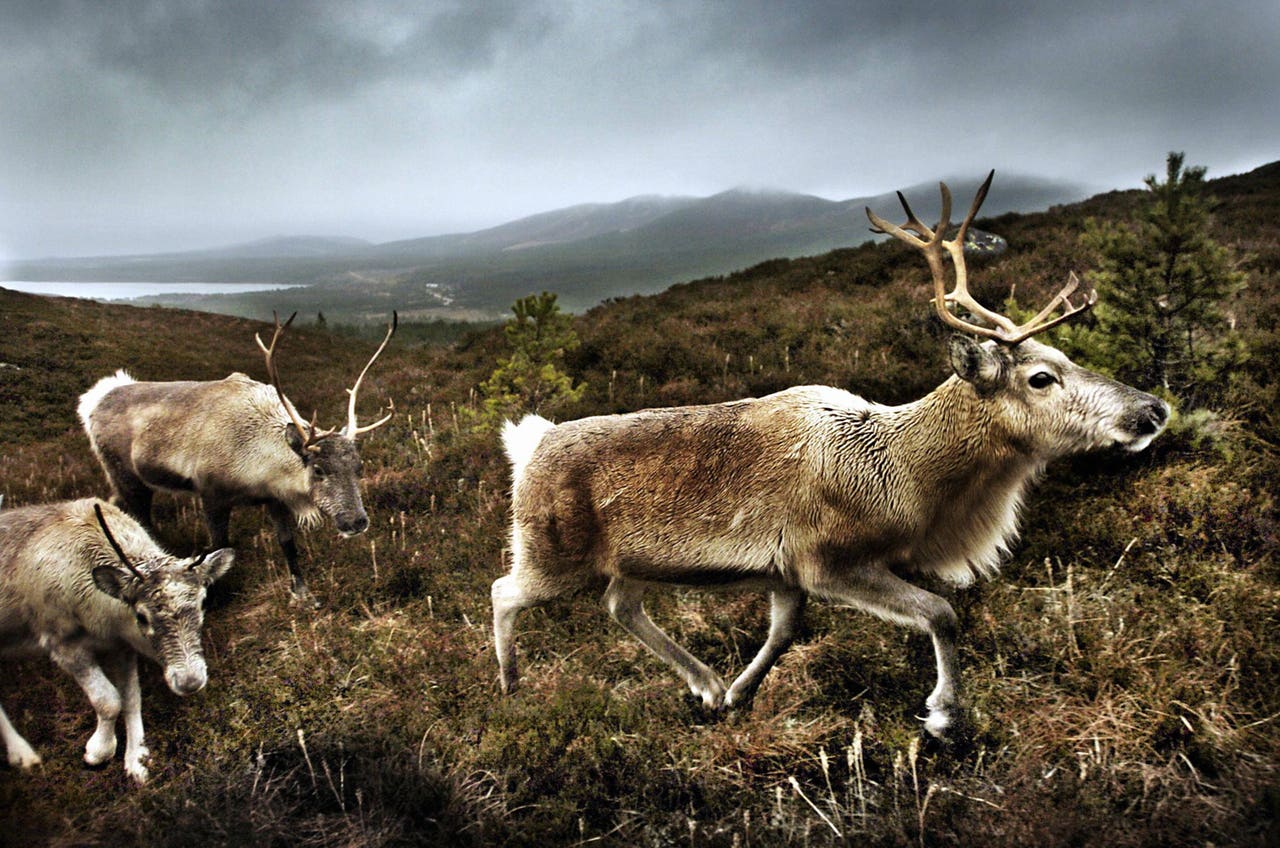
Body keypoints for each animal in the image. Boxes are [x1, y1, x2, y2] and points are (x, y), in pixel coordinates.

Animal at [0, 498, 233, 782]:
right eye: (141, 616)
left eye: (202, 601)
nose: (190, 682)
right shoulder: (61, 643)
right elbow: (109, 700)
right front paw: (98, 751)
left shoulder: (121, 646)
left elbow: (132, 698)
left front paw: (137, 762)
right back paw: (23, 755)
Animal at [78, 313, 396, 606]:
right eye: (318, 469)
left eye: (359, 467)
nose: (356, 521)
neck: (257, 464)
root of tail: (94, 399)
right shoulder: (211, 494)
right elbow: (219, 546)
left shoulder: (275, 499)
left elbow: (287, 543)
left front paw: (302, 594)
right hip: (126, 476)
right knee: (141, 519)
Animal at [490, 172, 1170, 740]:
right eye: (1040, 377)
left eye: (1068, 358)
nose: (1153, 409)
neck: (913, 481)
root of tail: (528, 443)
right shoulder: (828, 559)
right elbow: (942, 611)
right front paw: (945, 713)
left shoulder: (786, 573)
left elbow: (784, 634)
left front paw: (736, 693)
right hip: (550, 552)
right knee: (503, 591)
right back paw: (510, 686)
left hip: (629, 562)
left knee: (619, 605)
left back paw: (704, 682)